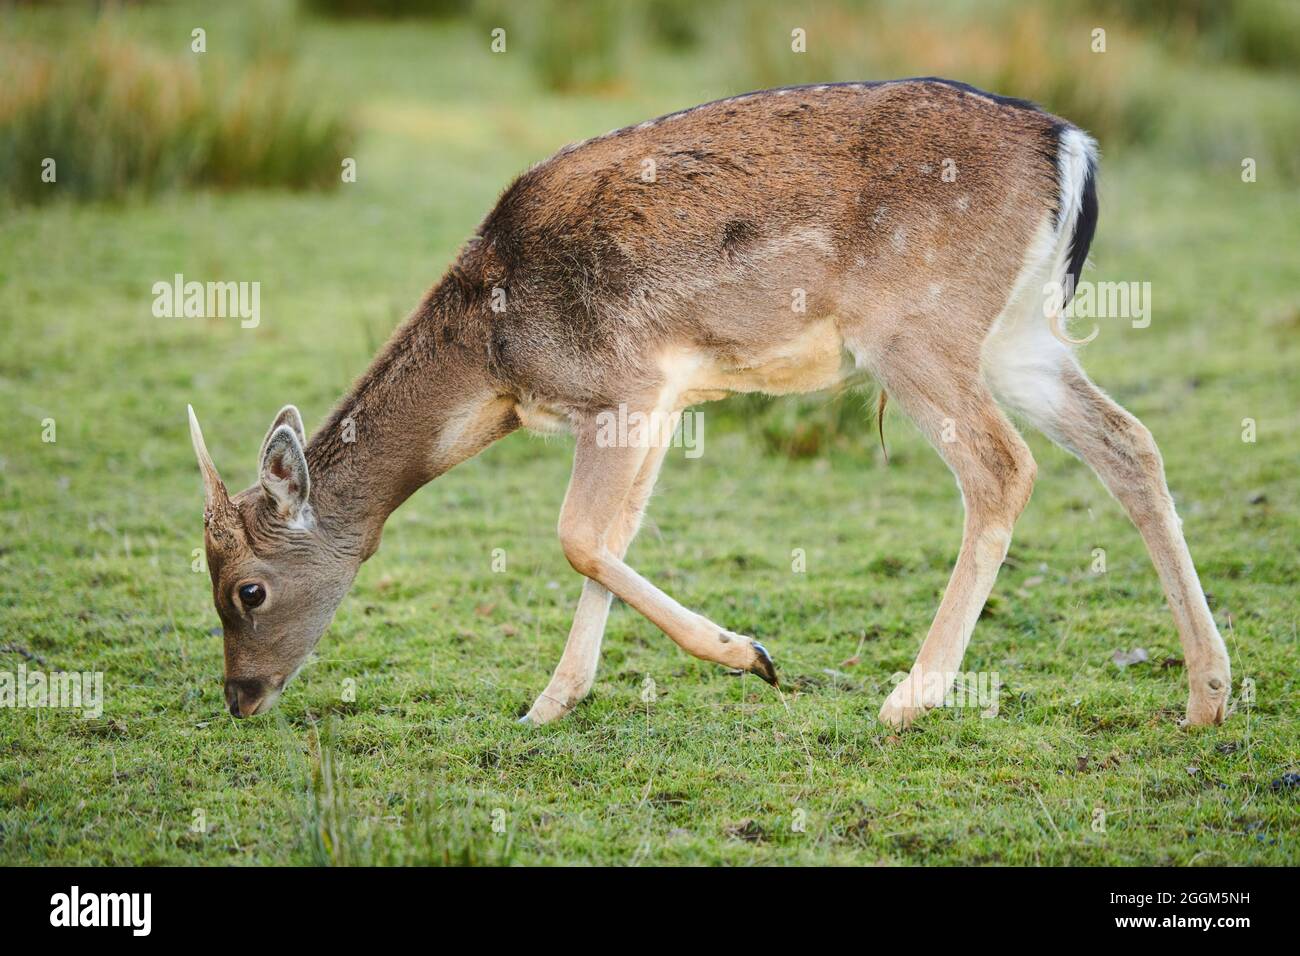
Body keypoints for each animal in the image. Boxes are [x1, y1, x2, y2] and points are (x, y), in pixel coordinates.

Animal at [188, 78, 1232, 730]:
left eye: (247, 590)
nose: (240, 697)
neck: (493, 364)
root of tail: (1074, 148)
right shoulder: (657, 398)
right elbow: (610, 538)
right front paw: (550, 704)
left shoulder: (625, 382)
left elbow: (579, 536)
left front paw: (753, 657)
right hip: (1018, 335)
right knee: (1130, 442)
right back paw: (1208, 696)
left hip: (915, 331)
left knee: (1003, 467)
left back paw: (912, 698)